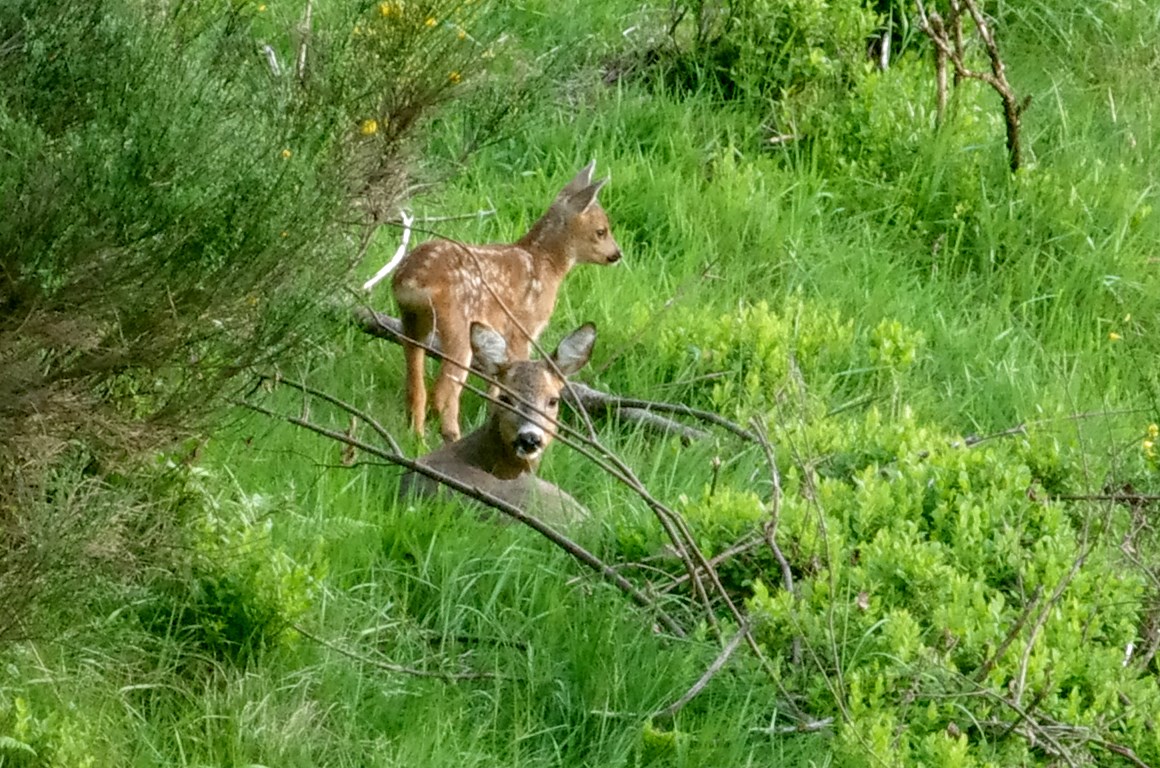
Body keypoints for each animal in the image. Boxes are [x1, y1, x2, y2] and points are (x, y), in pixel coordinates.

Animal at [392, 158, 626, 443]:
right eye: (601, 231)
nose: (616, 254)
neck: (544, 264)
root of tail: (411, 280)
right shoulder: (523, 328)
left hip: (412, 322)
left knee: (415, 387)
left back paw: (418, 438)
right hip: (457, 325)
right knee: (444, 391)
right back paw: (452, 436)